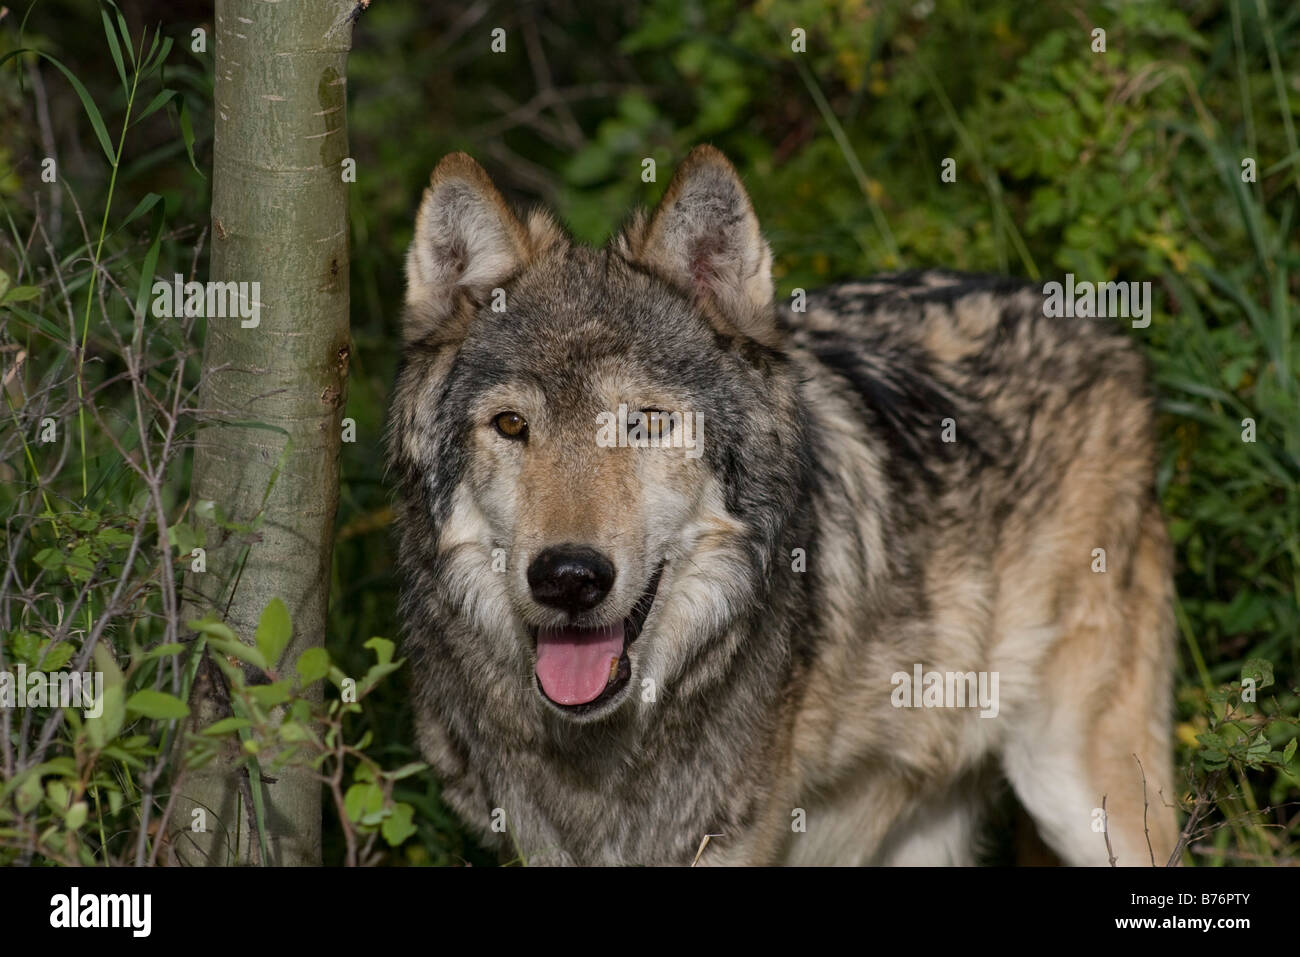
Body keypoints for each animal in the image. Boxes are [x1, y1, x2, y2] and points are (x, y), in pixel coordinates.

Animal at [387, 146, 1178, 866]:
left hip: (1077, 795)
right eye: (511, 425)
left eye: (645, 423)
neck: (603, 750)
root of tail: (1089, 315)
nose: (568, 578)